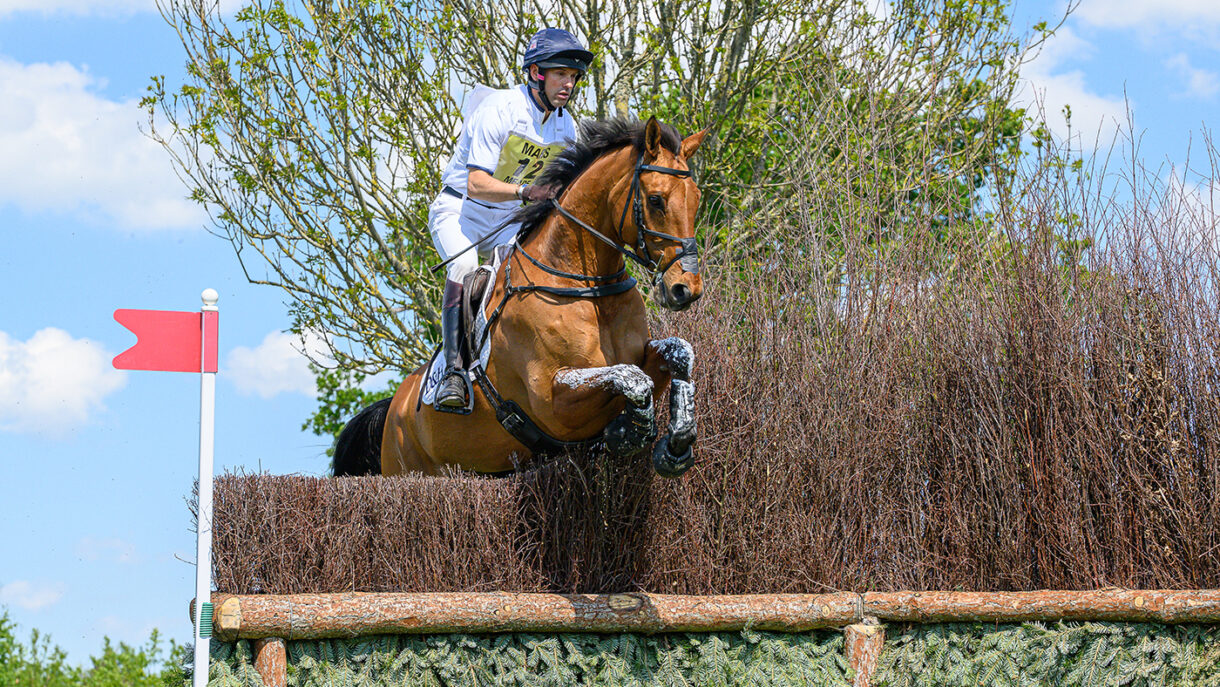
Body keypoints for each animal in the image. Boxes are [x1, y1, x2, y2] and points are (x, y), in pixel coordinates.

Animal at [333, 116, 706, 478]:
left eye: (696, 199)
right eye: (656, 199)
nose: (686, 289)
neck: (585, 286)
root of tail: (393, 407)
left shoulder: (638, 356)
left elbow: (679, 354)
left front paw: (676, 444)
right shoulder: (552, 400)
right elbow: (633, 379)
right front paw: (628, 433)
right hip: (409, 470)